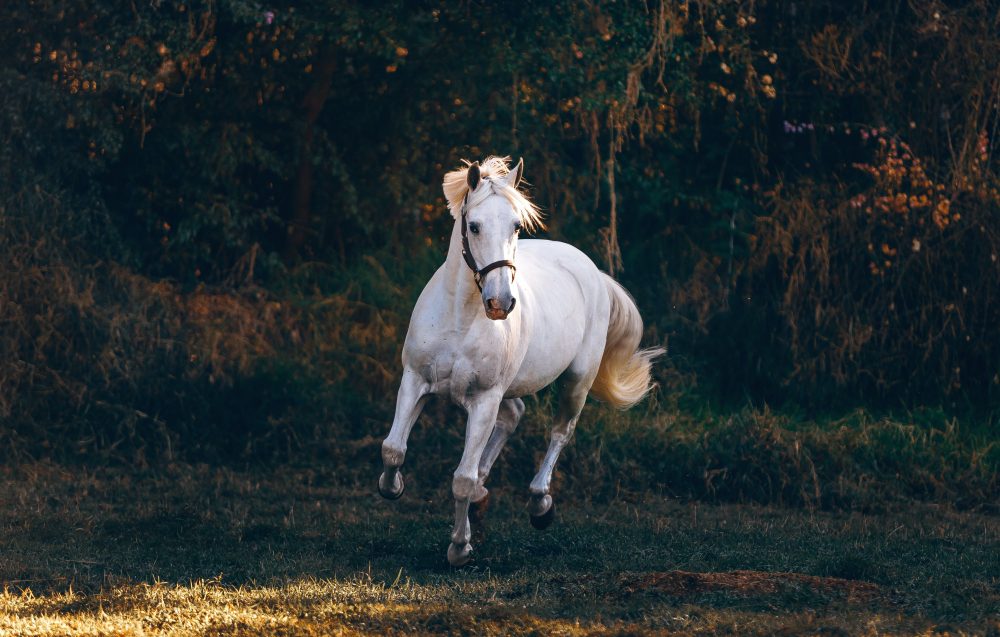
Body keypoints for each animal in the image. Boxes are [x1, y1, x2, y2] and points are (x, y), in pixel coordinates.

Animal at [378, 156, 662, 566]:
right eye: (474, 226)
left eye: (515, 225)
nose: (501, 303)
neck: (460, 317)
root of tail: (591, 270)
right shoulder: (415, 381)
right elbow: (393, 449)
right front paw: (395, 486)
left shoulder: (484, 399)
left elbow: (461, 479)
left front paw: (459, 547)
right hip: (509, 388)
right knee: (514, 416)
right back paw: (484, 497)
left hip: (576, 380)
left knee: (560, 432)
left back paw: (540, 504)